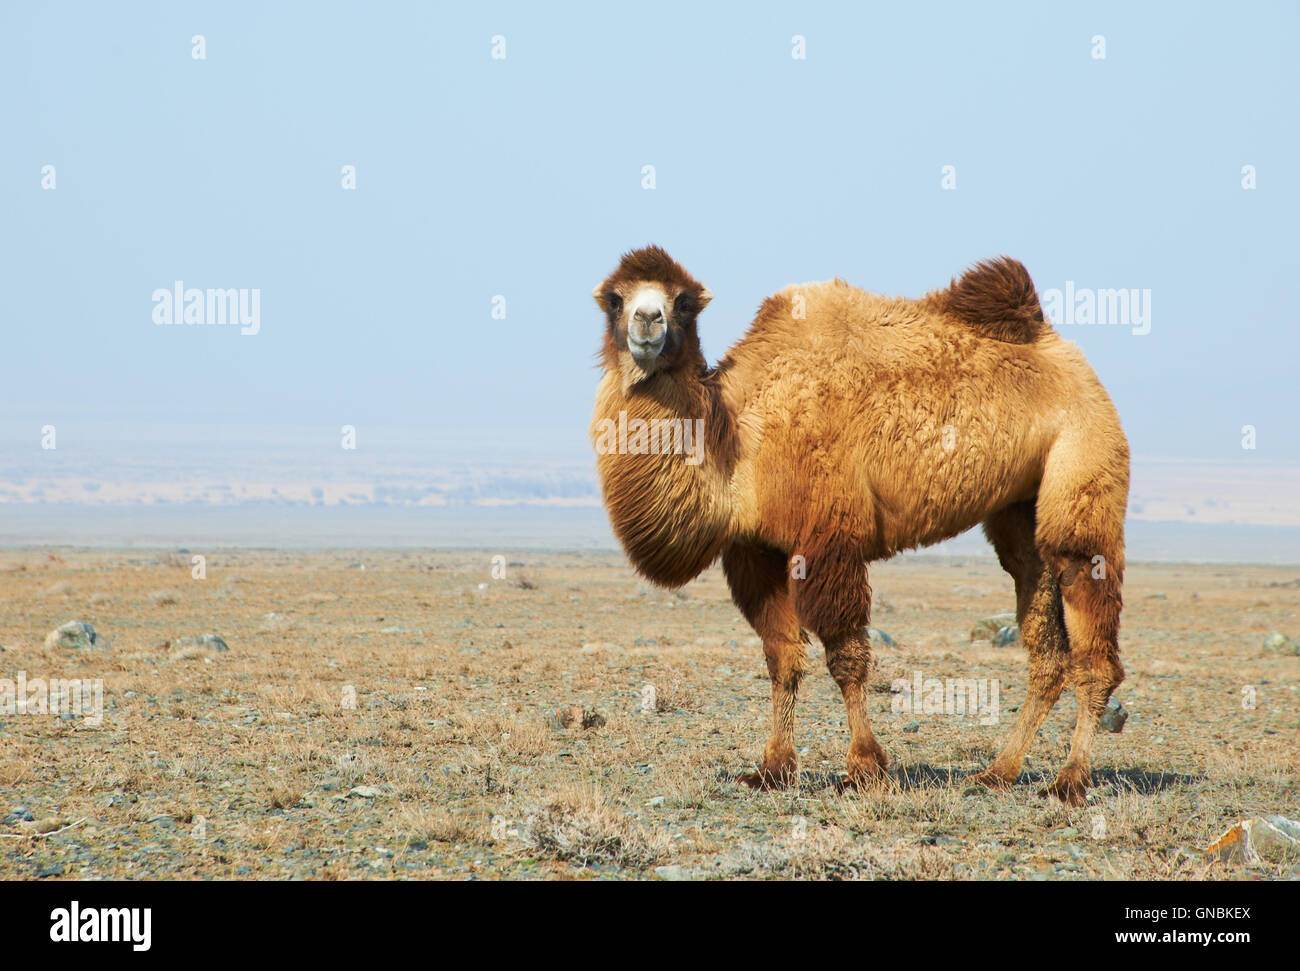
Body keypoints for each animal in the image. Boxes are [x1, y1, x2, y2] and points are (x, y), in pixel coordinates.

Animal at [589, 246, 1129, 806]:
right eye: (615, 299)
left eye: (683, 302)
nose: (647, 320)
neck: (741, 439)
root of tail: (1068, 356)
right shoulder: (754, 551)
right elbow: (781, 658)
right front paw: (771, 769)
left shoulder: (830, 537)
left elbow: (847, 658)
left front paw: (864, 768)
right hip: (1020, 509)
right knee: (1042, 626)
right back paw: (998, 772)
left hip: (1085, 454)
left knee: (1089, 614)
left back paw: (1069, 781)